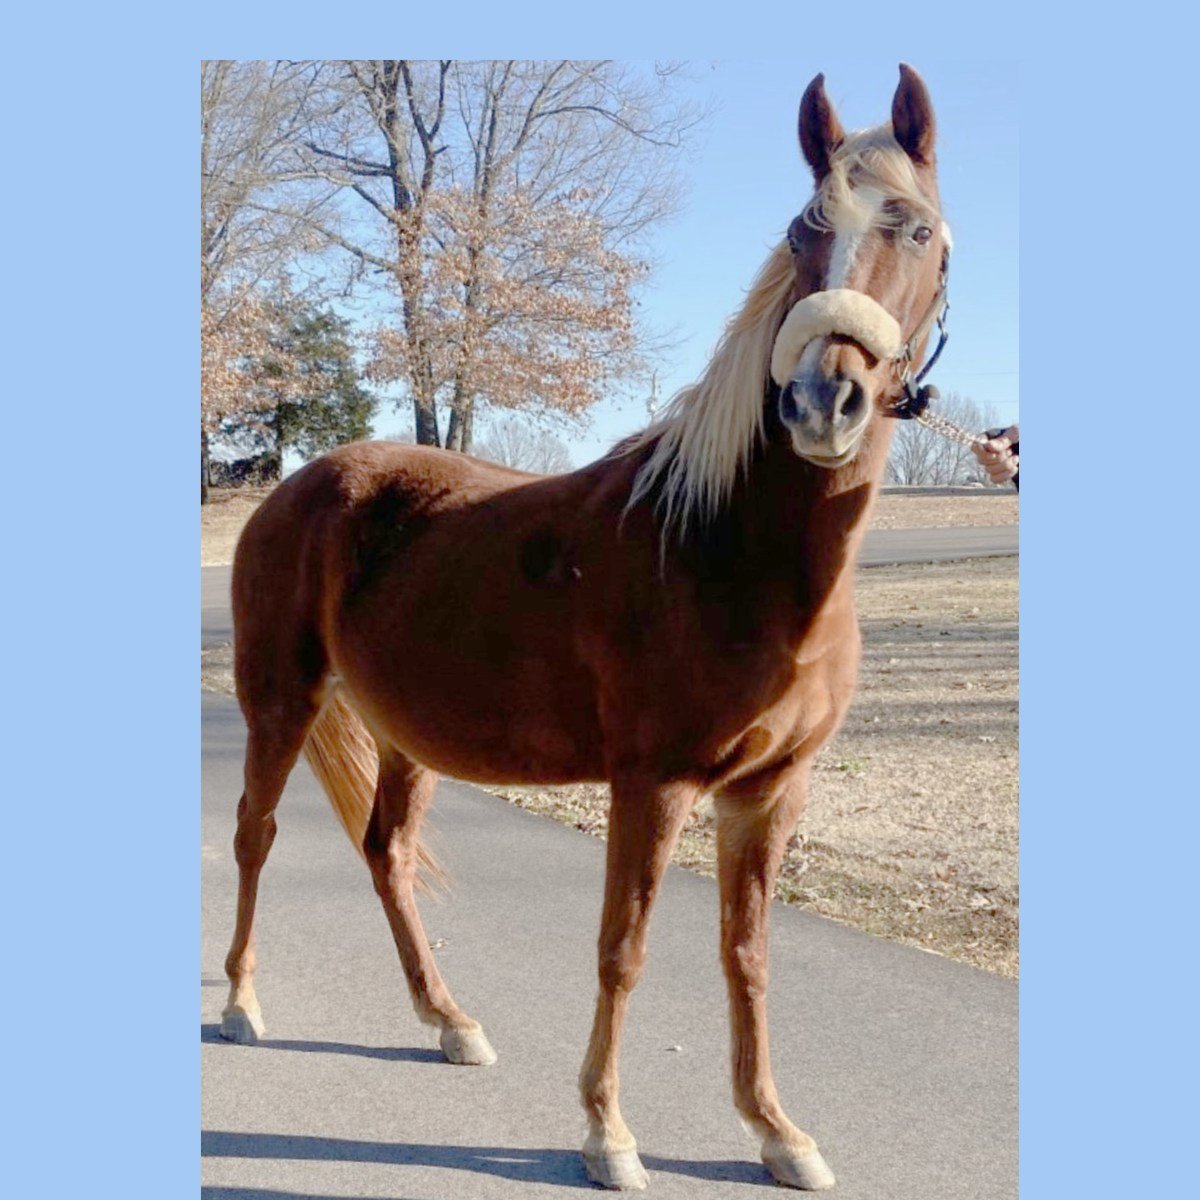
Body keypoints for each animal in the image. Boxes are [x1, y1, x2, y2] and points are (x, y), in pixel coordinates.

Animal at [218, 64, 951, 1192]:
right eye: (802, 230)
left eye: (914, 230)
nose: (823, 402)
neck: (728, 546)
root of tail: (300, 484)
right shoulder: (654, 784)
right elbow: (624, 949)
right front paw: (608, 1132)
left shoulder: (769, 794)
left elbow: (748, 956)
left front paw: (777, 1131)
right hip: (279, 702)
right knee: (254, 836)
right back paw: (243, 1003)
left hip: (404, 735)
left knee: (387, 853)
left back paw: (449, 1019)